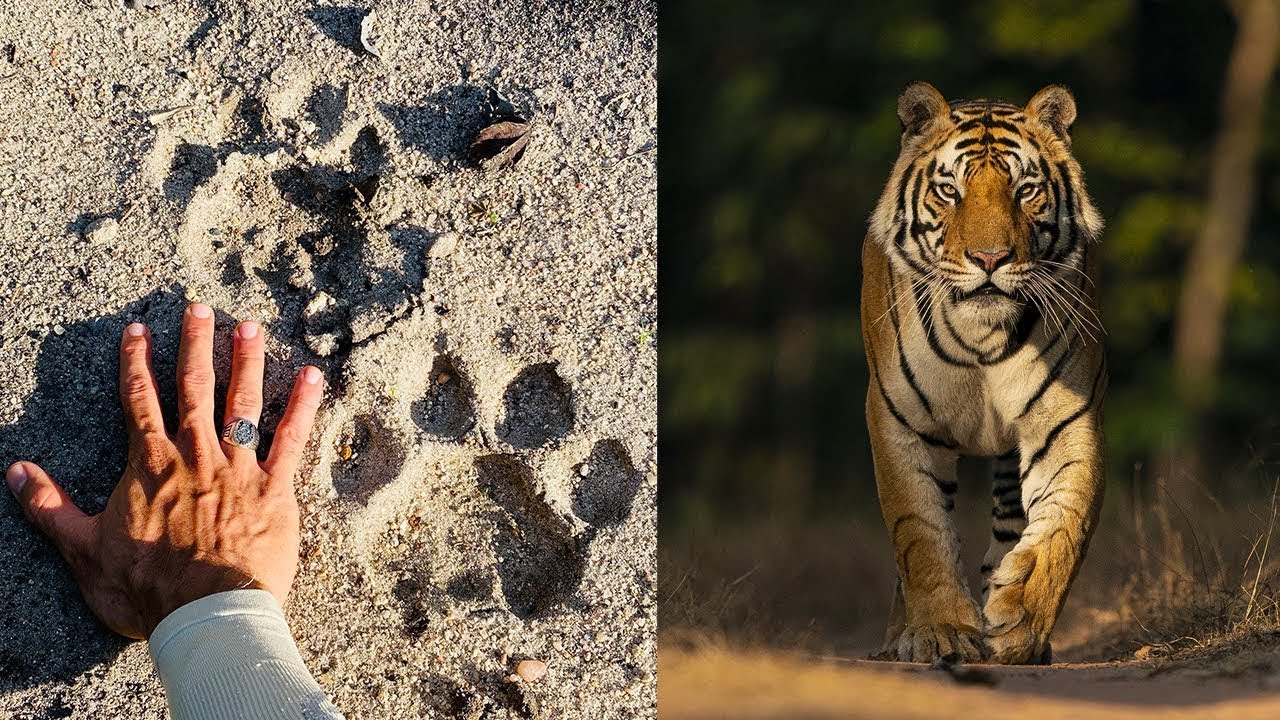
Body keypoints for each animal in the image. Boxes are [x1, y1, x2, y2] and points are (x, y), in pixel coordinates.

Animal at [860, 82, 1106, 665]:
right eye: (950, 190)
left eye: (1026, 190)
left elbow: (1064, 526)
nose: (990, 258)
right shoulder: (898, 421)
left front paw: (1019, 622)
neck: (982, 339)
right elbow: (921, 532)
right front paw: (943, 631)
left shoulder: (1066, 422)